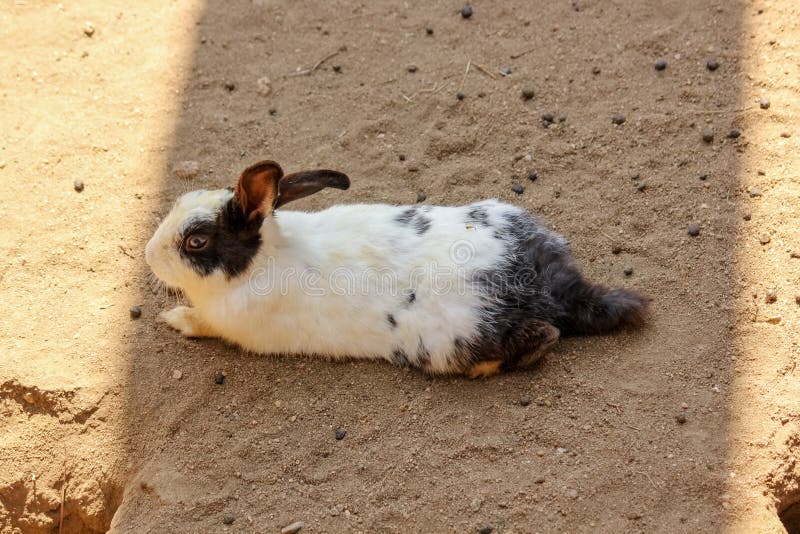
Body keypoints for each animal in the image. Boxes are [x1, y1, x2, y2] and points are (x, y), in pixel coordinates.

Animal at [146, 160, 648, 378]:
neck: (260, 261)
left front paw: (172, 318)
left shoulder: (225, 324)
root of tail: (549, 288)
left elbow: (200, 323)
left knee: (545, 336)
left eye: (196, 241)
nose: (149, 255)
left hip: (458, 340)